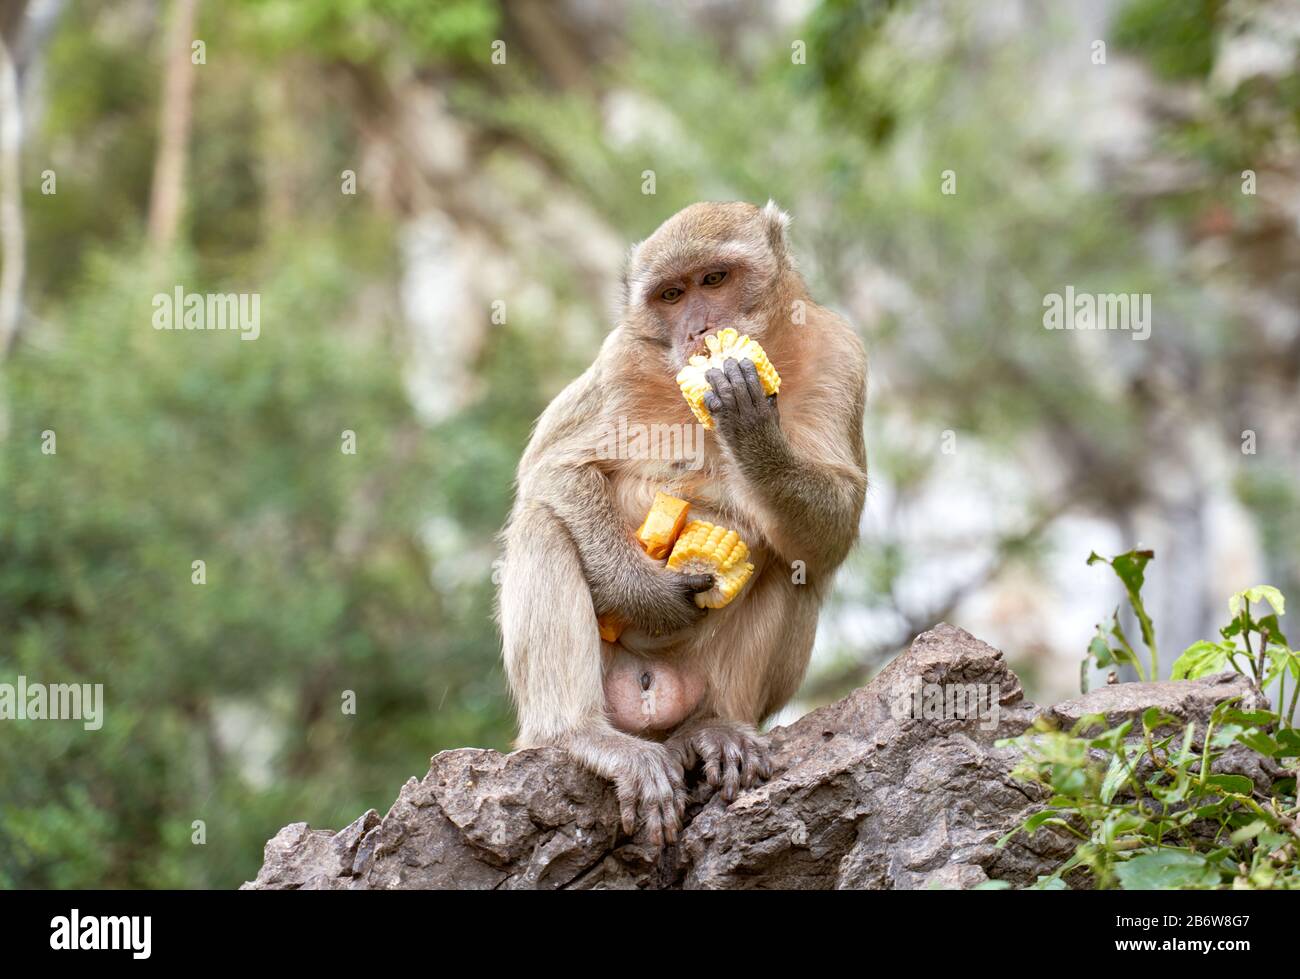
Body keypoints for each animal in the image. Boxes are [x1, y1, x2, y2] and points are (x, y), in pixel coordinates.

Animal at [498, 200, 867, 844]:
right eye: (672, 294)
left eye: (713, 280)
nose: (698, 331)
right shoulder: (620, 361)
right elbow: (551, 471)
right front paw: (642, 592)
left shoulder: (840, 354)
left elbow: (834, 530)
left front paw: (752, 429)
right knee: (544, 525)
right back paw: (577, 735)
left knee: (790, 566)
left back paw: (715, 727)